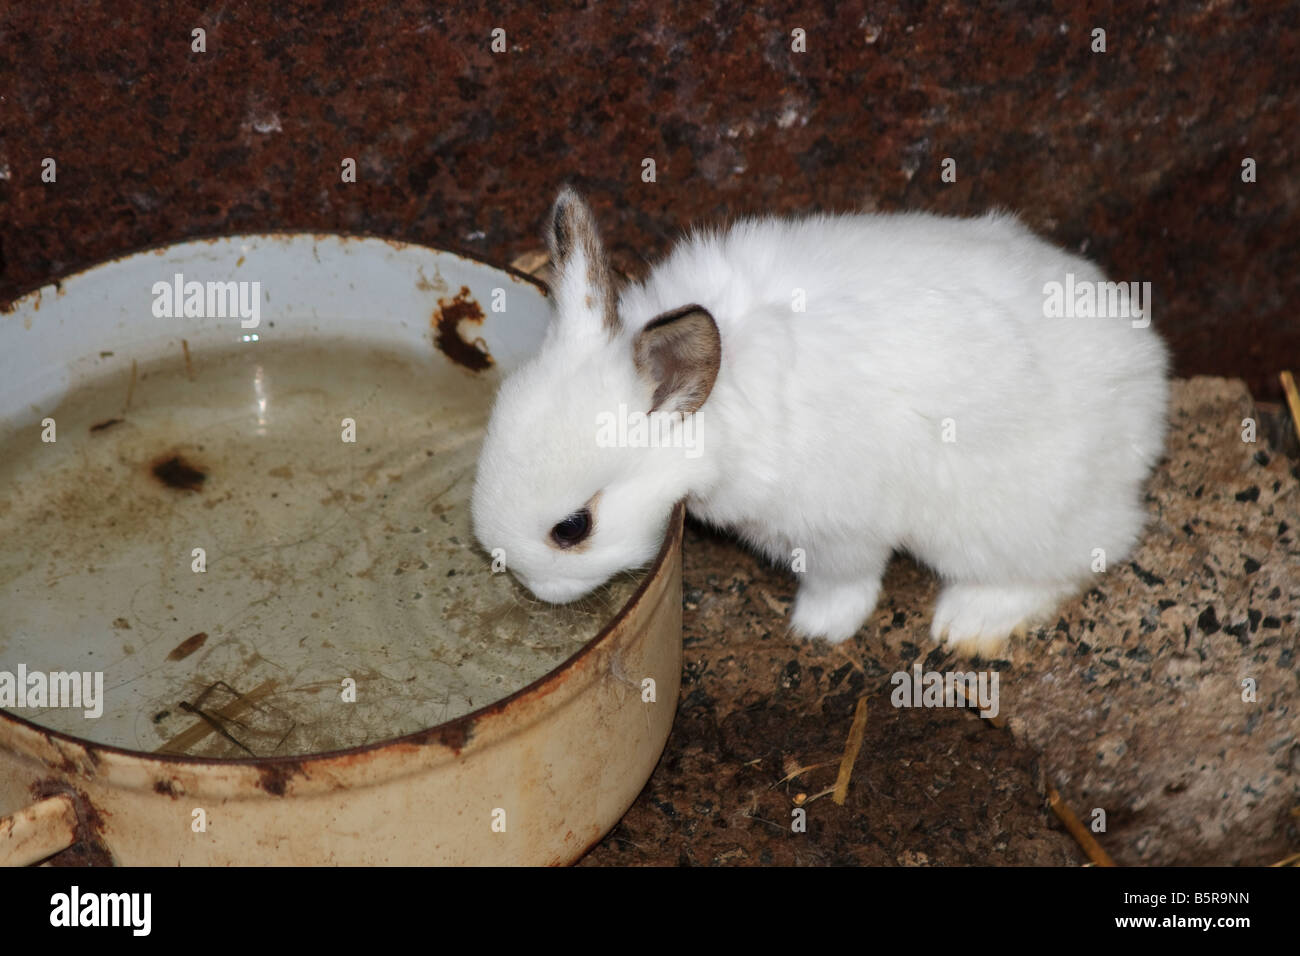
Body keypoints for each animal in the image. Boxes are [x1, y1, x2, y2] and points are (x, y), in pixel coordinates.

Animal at [471, 187, 1169, 657]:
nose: (529, 585)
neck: (718, 411)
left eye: (572, 528)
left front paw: (816, 628)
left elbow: (847, 583)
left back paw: (966, 623)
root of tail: (1147, 379)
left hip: (1011, 522)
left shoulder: (839, 532)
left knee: (1079, 559)